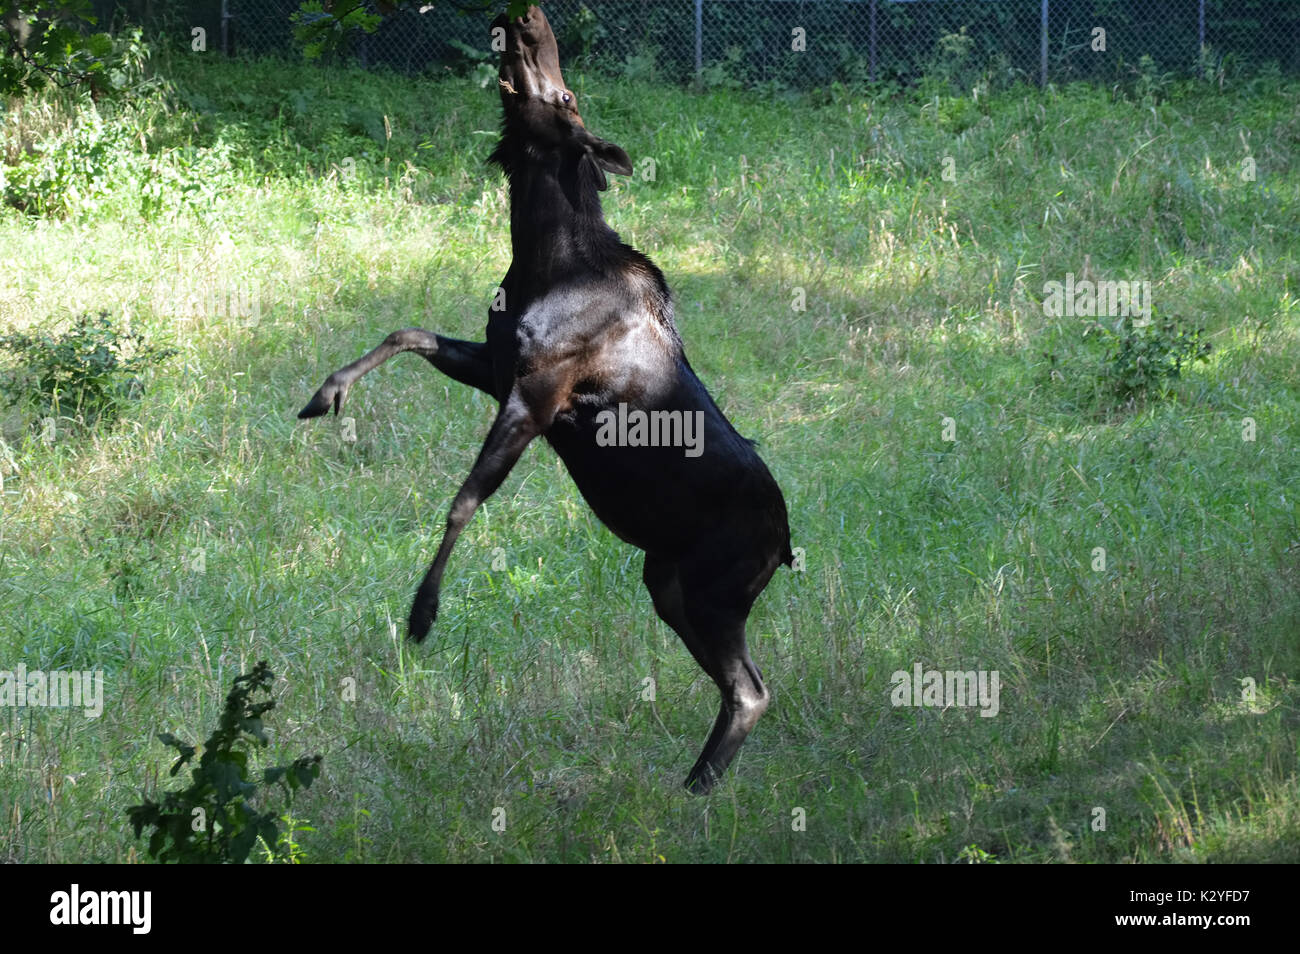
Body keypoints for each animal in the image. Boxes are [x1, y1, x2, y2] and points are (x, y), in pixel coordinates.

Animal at [297, 4, 792, 793]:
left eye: (566, 98)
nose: (529, 15)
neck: (539, 253)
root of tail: (789, 544)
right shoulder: (498, 367)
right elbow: (406, 332)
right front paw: (328, 391)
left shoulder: (536, 396)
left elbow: (464, 499)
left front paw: (423, 612)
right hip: (669, 580)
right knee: (740, 686)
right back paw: (694, 781)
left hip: (714, 591)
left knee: (751, 689)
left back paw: (698, 786)